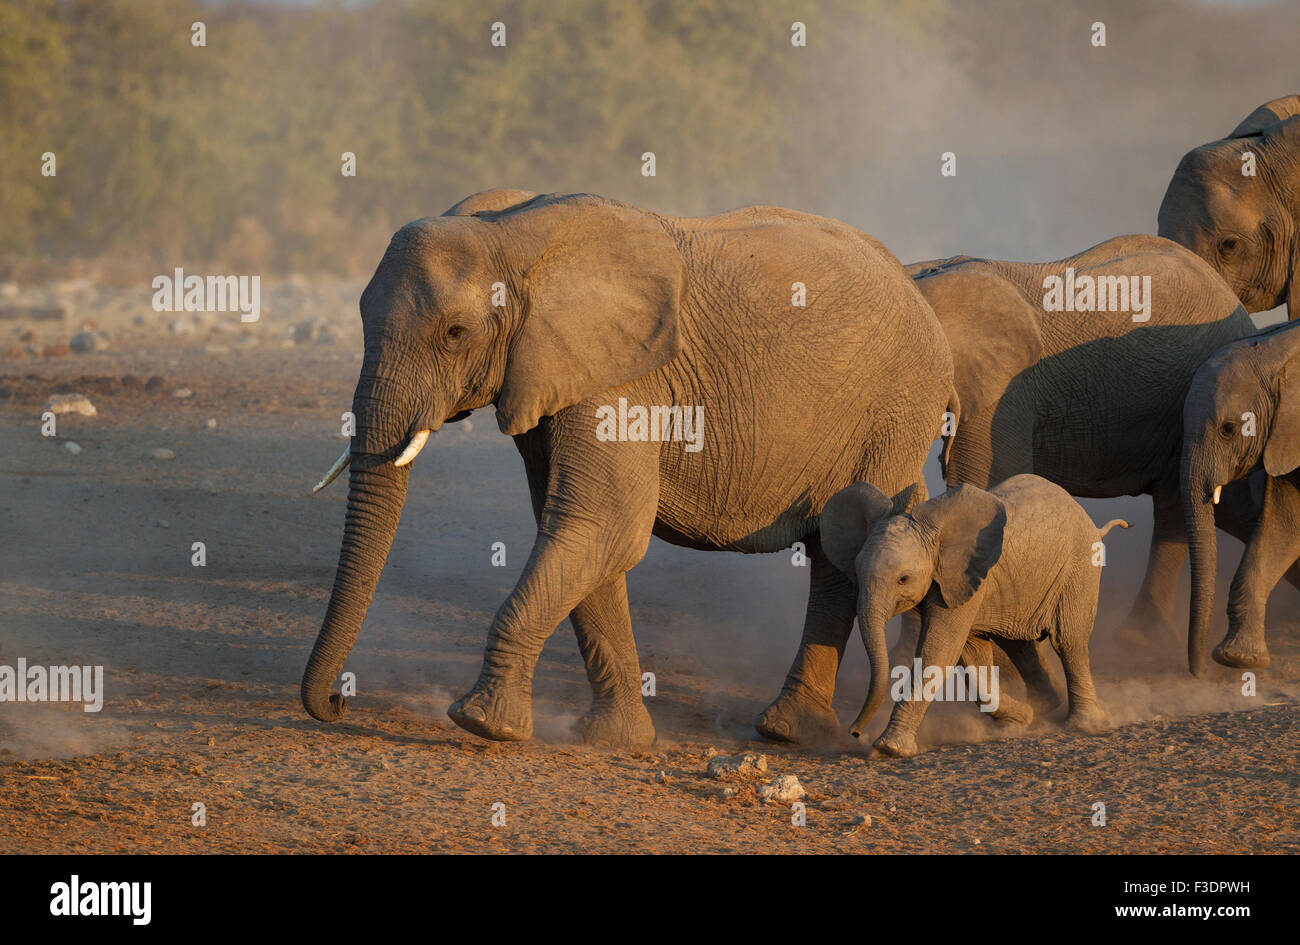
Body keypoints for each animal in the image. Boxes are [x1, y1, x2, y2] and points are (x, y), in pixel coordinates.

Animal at [301, 189, 956, 748]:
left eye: (455, 333)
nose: (338, 702)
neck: (513, 239)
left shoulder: (623, 379)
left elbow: (603, 524)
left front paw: (483, 724)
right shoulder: (554, 376)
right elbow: (579, 531)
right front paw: (615, 740)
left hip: (895, 411)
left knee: (840, 555)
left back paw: (786, 733)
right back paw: (790, 730)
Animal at [819, 474, 1125, 758]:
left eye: (903, 579)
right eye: (856, 573)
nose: (855, 732)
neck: (936, 536)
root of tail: (1089, 519)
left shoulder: (963, 577)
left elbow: (940, 649)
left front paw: (888, 749)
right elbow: (970, 655)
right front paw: (1022, 719)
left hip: (1080, 566)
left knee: (1068, 640)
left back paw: (1084, 724)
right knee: (1019, 644)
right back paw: (1045, 706)